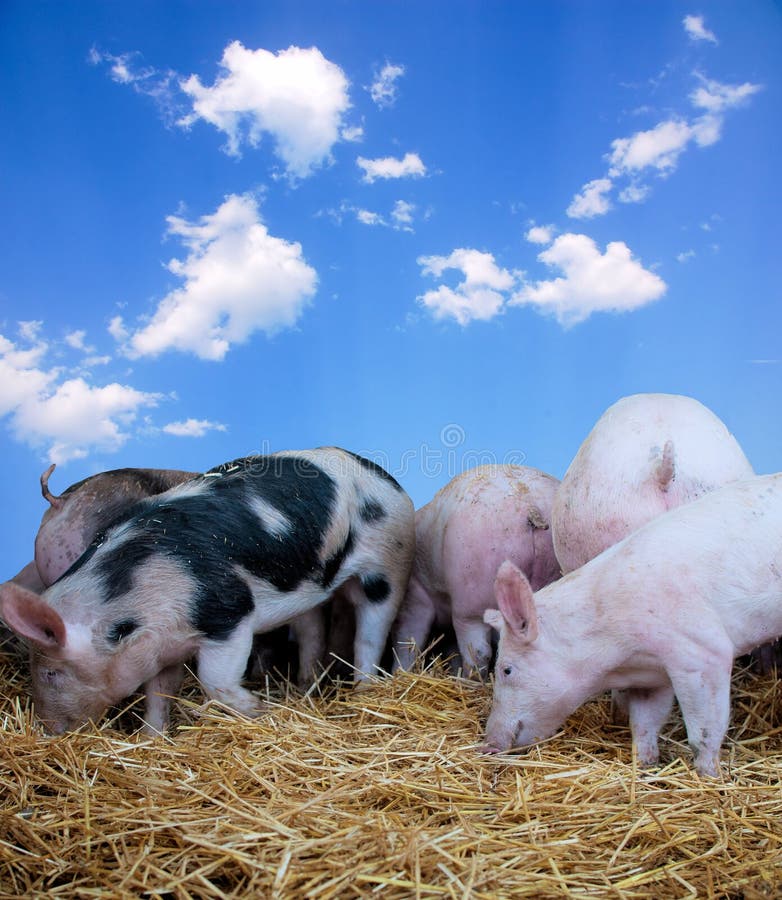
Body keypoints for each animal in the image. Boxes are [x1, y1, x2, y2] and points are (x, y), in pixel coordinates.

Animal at [0, 448, 415, 734]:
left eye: (51, 673)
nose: (48, 730)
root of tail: (384, 477)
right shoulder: (161, 648)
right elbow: (158, 692)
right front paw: (152, 738)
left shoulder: (229, 615)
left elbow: (215, 682)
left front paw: (263, 710)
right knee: (312, 630)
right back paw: (304, 690)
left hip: (388, 561)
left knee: (370, 633)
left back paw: (362, 690)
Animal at [483, 473, 782, 776]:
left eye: (506, 669)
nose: (488, 745)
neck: (622, 657)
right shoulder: (652, 678)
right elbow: (644, 722)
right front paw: (645, 764)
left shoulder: (703, 653)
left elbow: (704, 730)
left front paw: (707, 775)